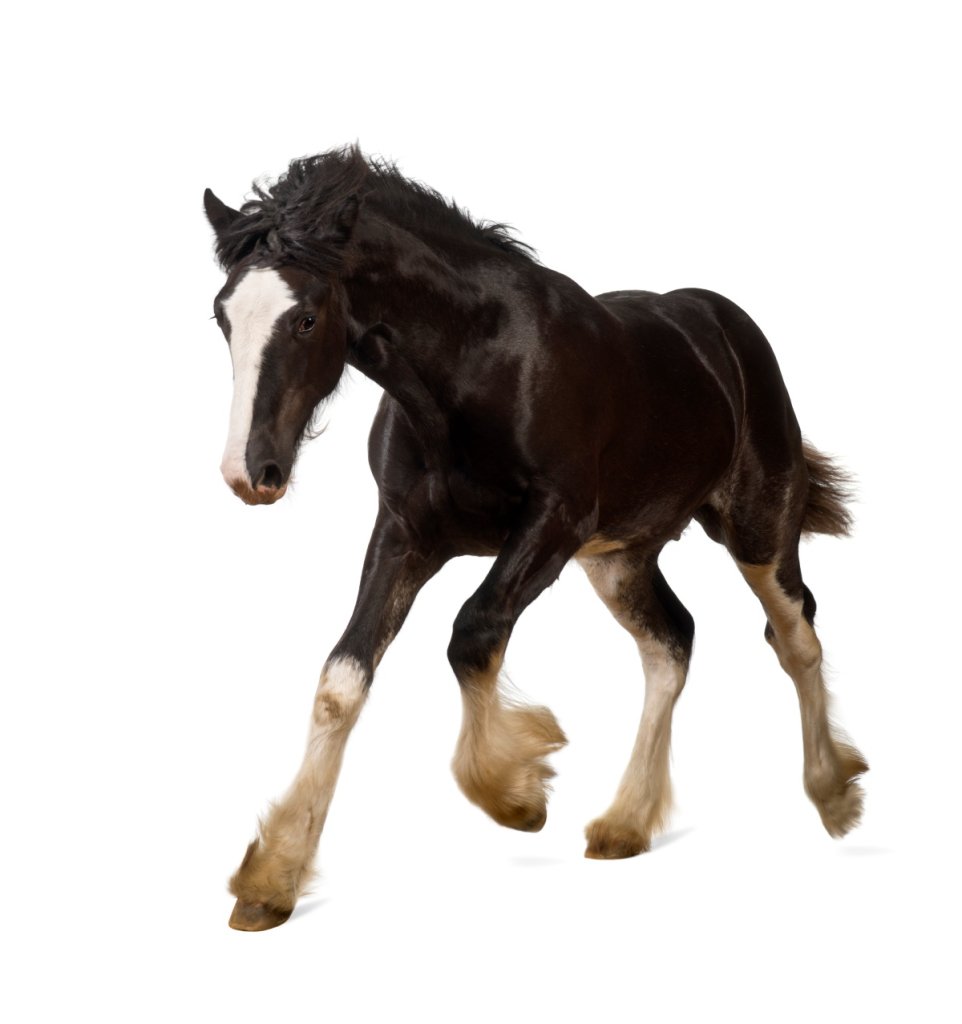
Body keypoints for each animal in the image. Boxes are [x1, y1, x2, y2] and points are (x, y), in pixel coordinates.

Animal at [204, 145, 867, 931]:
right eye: (222, 315)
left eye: (306, 318)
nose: (250, 473)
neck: (475, 366)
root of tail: (724, 327)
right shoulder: (404, 534)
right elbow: (343, 679)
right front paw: (270, 879)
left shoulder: (552, 522)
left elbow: (473, 631)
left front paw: (516, 791)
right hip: (620, 558)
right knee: (671, 641)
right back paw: (625, 823)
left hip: (758, 528)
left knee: (796, 635)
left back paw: (835, 793)